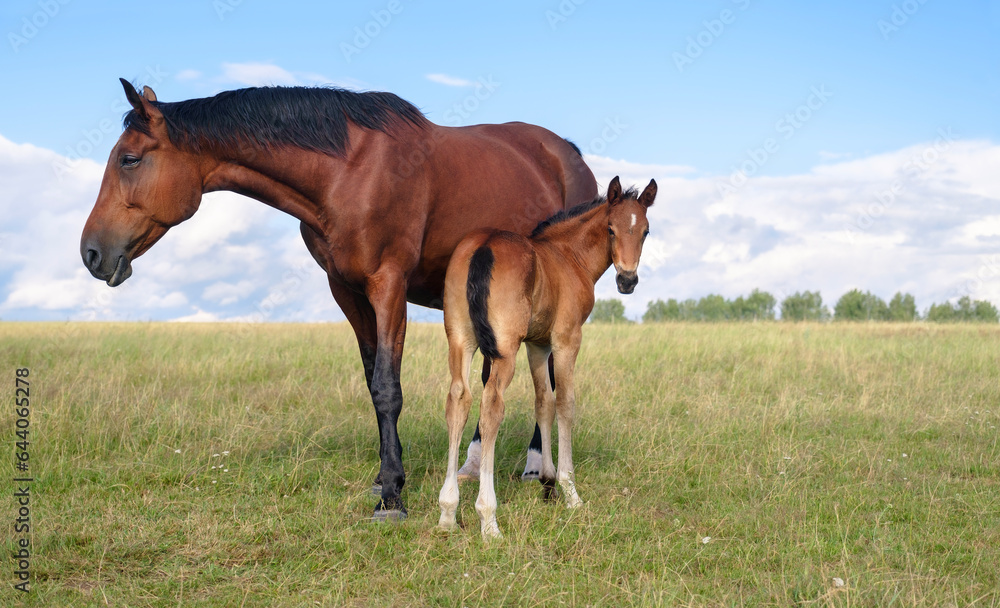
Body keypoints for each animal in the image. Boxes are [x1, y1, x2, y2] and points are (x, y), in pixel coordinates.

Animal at [80, 79, 597, 520]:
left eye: (129, 159)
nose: (91, 253)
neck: (348, 170)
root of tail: (568, 153)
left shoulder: (388, 285)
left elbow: (388, 387)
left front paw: (392, 497)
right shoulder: (346, 290)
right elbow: (373, 382)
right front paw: (387, 477)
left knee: (544, 375)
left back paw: (536, 467)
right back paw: (474, 464)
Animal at [438, 176, 657, 539]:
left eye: (645, 231)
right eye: (610, 229)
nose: (627, 280)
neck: (569, 257)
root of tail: (484, 246)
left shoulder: (537, 344)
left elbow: (543, 402)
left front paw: (547, 483)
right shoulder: (566, 339)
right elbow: (566, 403)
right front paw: (569, 491)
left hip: (460, 338)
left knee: (458, 399)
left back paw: (447, 511)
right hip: (504, 347)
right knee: (491, 405)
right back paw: (488, 518)